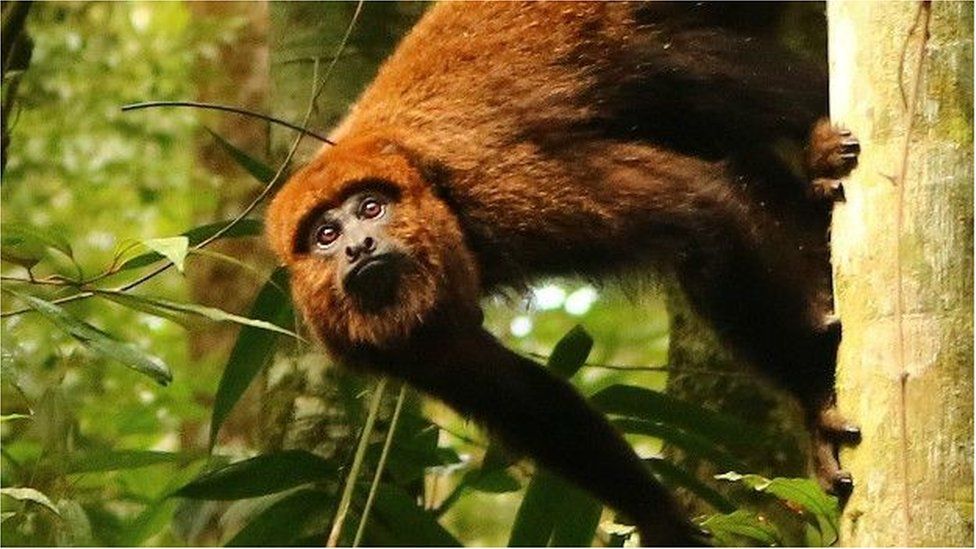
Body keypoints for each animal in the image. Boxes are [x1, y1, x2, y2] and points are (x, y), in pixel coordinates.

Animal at [264, 2, 860, 546]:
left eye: (371, 208)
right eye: (325, 235)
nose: (358, 247)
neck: (426, 187)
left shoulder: (499, 188)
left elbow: (700, 209)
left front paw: (814, 400)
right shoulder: (389, 340)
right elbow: (518, 395)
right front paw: (660, 519)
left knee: (678, 71)